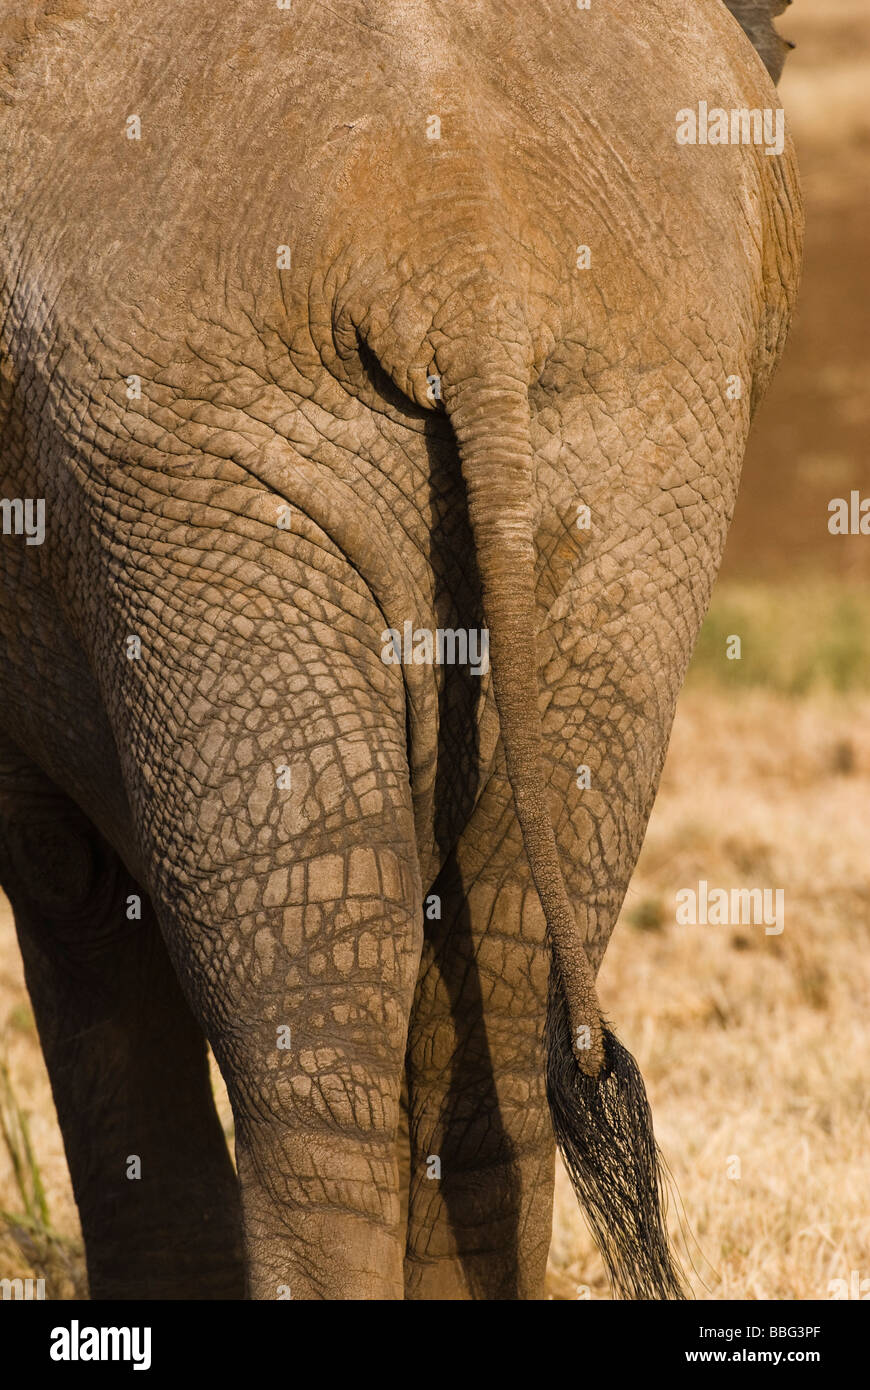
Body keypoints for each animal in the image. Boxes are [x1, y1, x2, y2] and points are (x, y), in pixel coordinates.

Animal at [0, 0, 801, 1300]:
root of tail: (462, 253)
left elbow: (67, 887)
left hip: (191, 461)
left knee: (318, 1049)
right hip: (638, 462)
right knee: (502, 1016)